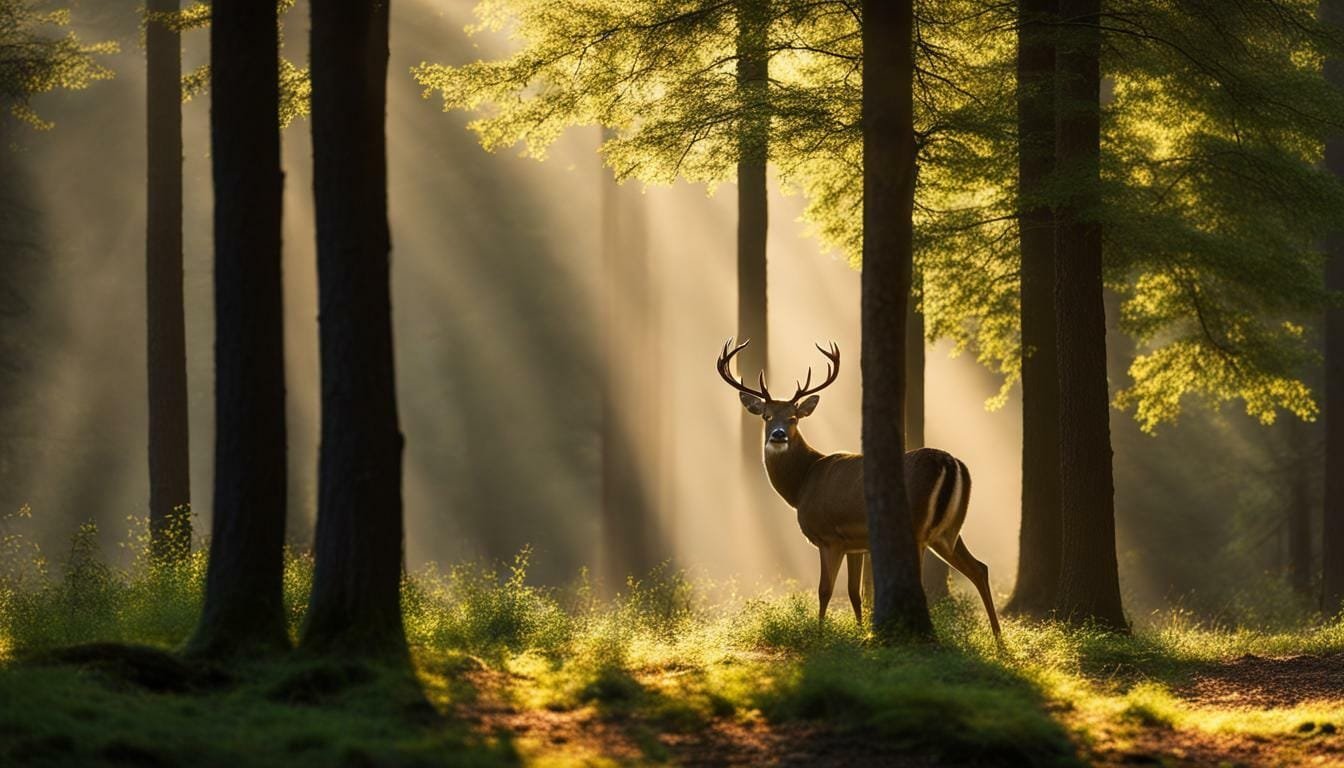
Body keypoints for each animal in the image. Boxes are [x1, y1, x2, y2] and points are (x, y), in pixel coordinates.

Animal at [717, 338, 1001, 638]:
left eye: (794, 417)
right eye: (767, 416)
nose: (778, 435)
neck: (803, 483)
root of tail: (951, 462)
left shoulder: (829, 537)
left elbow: (825, 590)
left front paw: (820, 634)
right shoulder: (856, 544)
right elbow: (855, 593)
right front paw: (861, 632)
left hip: (918, 525)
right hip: (948, 531)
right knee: (979, 568)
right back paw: (998, 638)